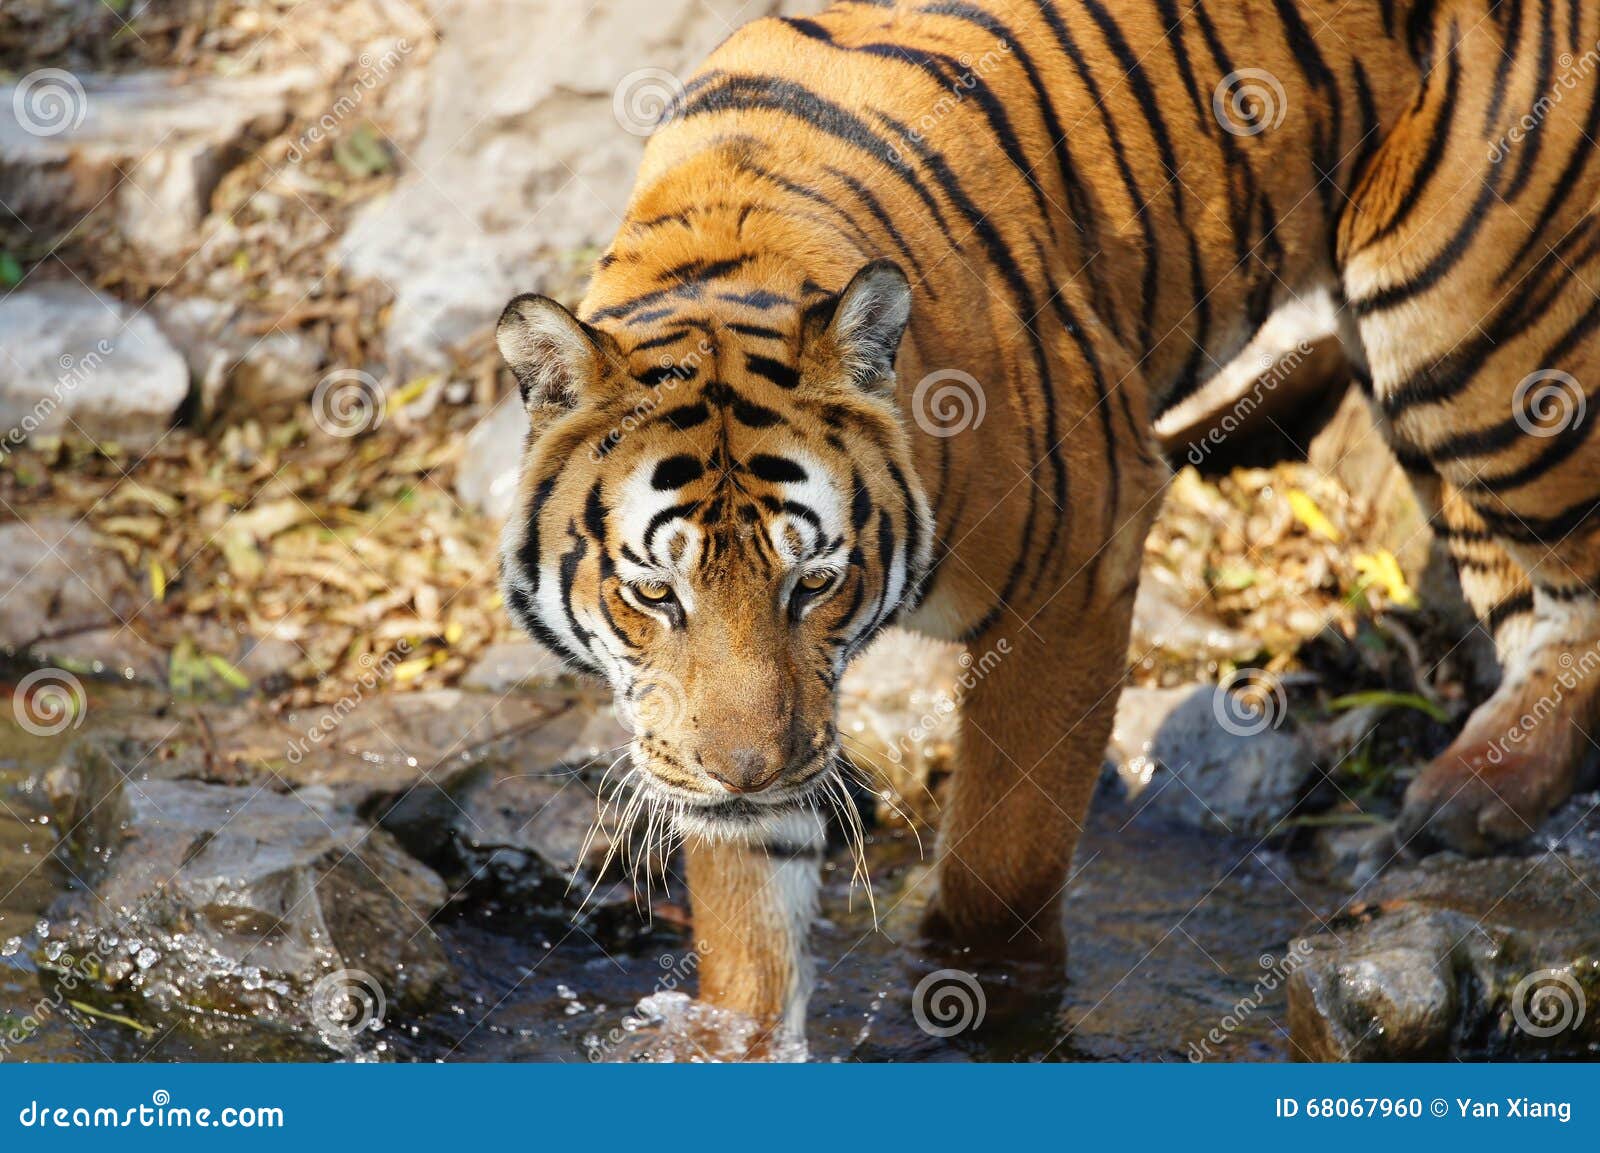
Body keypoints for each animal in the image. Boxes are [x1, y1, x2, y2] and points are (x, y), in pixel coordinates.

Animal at [496, 0, 1600, 1047]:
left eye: (813, 582)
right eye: (655, 593)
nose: (745, 775)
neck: (725, 250)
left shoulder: (1077, 565)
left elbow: (1003, 852)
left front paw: (982, 1002)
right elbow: (750, 941)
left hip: (1475, 336)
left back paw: (1483, 791)